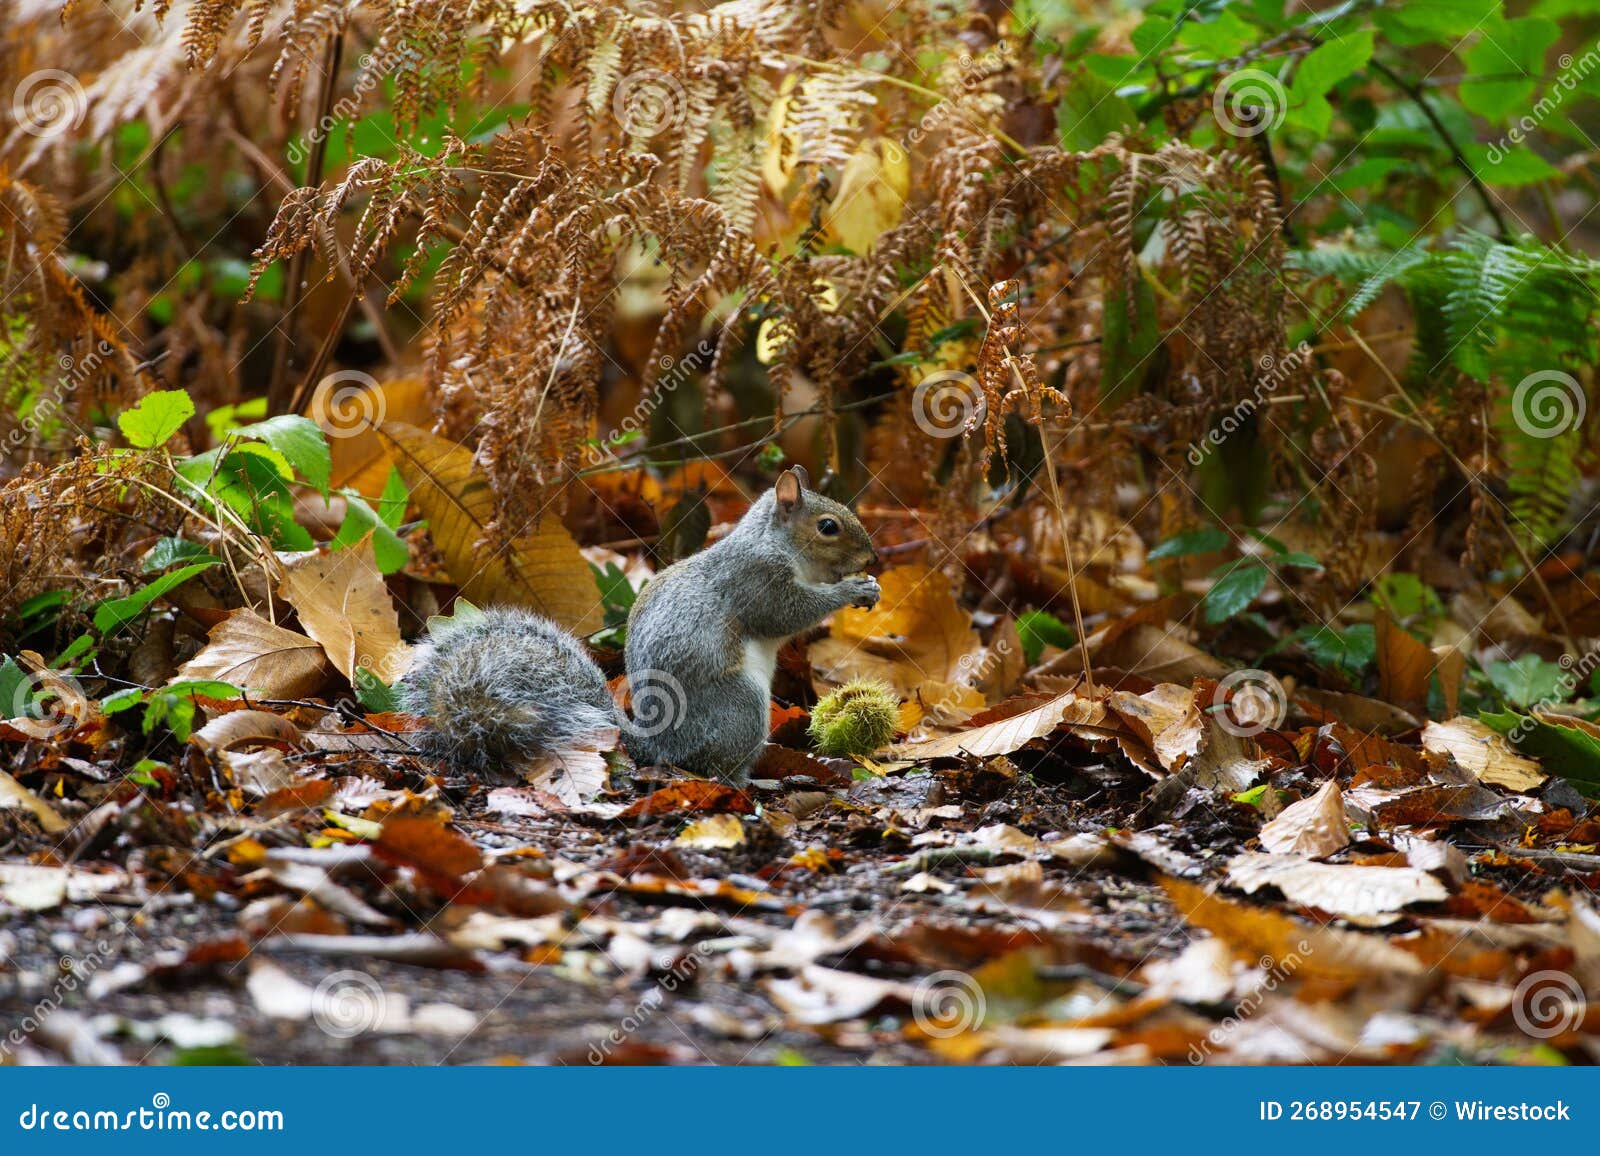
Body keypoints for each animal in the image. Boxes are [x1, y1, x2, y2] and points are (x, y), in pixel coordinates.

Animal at [399, 466, 880, 784]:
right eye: (828, 527)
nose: (872, 558)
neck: (775, 543)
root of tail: (660, 745)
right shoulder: (755, 578)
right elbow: (785, 613)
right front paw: (851, 590)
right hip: (740, 705)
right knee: (716, 767)